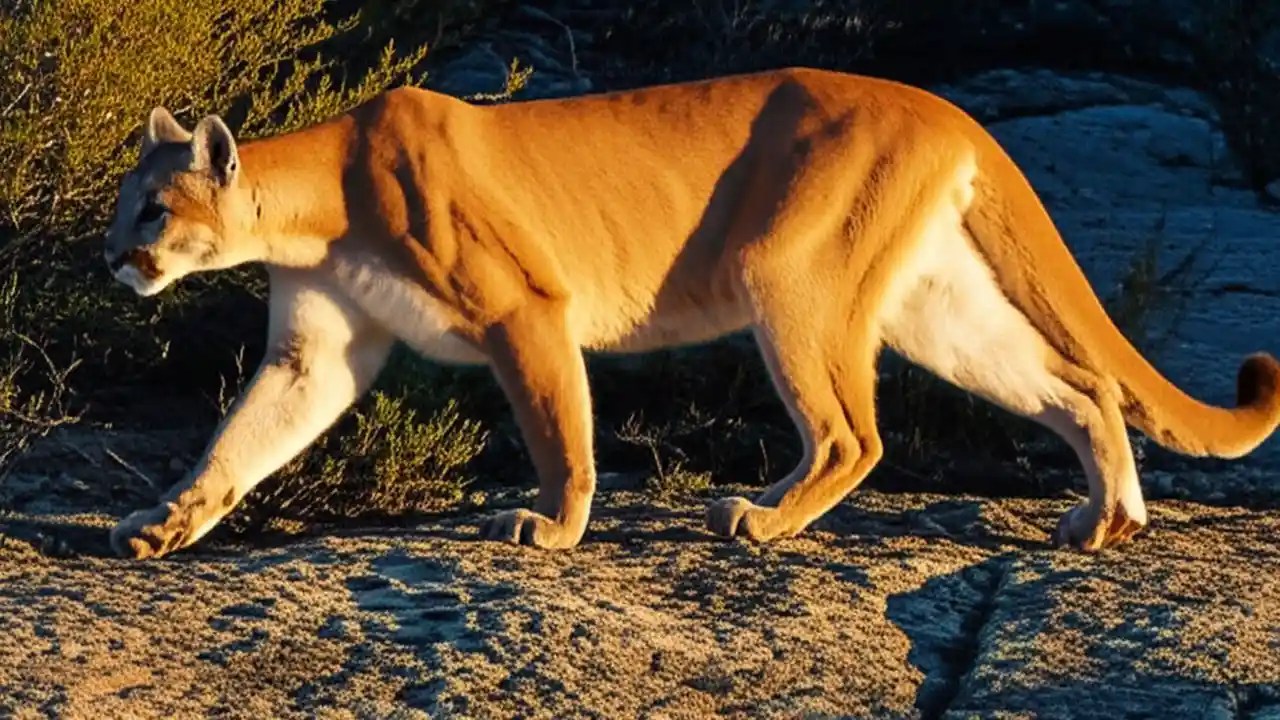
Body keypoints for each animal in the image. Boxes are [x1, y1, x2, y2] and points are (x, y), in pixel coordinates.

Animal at [103, 67, 1280, 559]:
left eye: (153, 207)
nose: (114, 260)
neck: (318, 202)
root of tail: (944, 103)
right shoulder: (317, 351)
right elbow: (242, 440)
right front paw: (160, 524)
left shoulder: (525, 307)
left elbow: (558, 431)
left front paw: (552, 527)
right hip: (931, 309)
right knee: (1074, 384)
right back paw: (1105, 521)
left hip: (787, 269)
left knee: (854, 434)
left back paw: (758, 518)